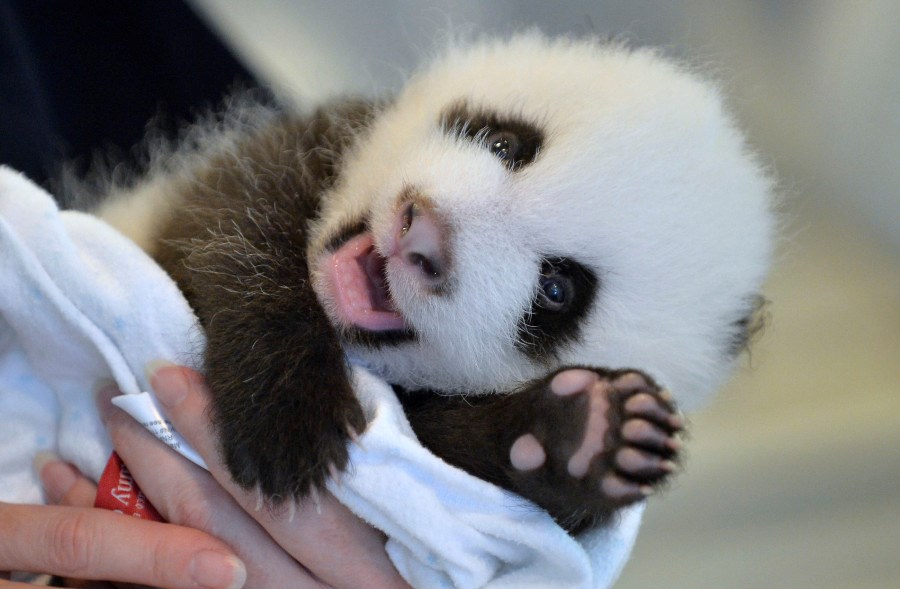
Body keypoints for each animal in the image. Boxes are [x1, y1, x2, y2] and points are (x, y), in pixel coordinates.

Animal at [93, 34, 775, 535]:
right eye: (506, 141)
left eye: (557, 291)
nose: (422, 234)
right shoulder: (293, 151)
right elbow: (234, 227)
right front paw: (287, 422)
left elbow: (438, 470)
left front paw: (590, 434)